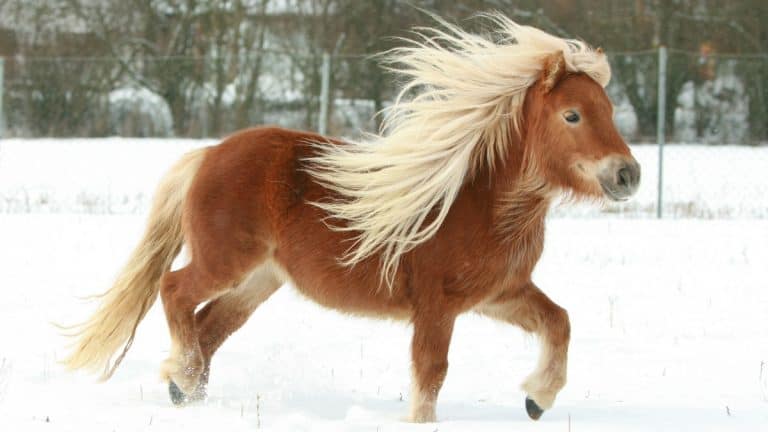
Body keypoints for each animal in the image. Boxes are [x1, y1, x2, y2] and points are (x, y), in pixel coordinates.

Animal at [63, 13, 640, 423]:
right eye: (572, 115)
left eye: (609, 111)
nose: (628, 174)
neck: (478, 202)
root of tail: (209, 154)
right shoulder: (436, 306)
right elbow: (430, 375)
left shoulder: (499, 293)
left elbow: (559, 321)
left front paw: (537, 399)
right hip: (226, 262)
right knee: (175, 291)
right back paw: (182, 377)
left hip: (260, 280)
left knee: (209, 327)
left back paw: (188, 391)